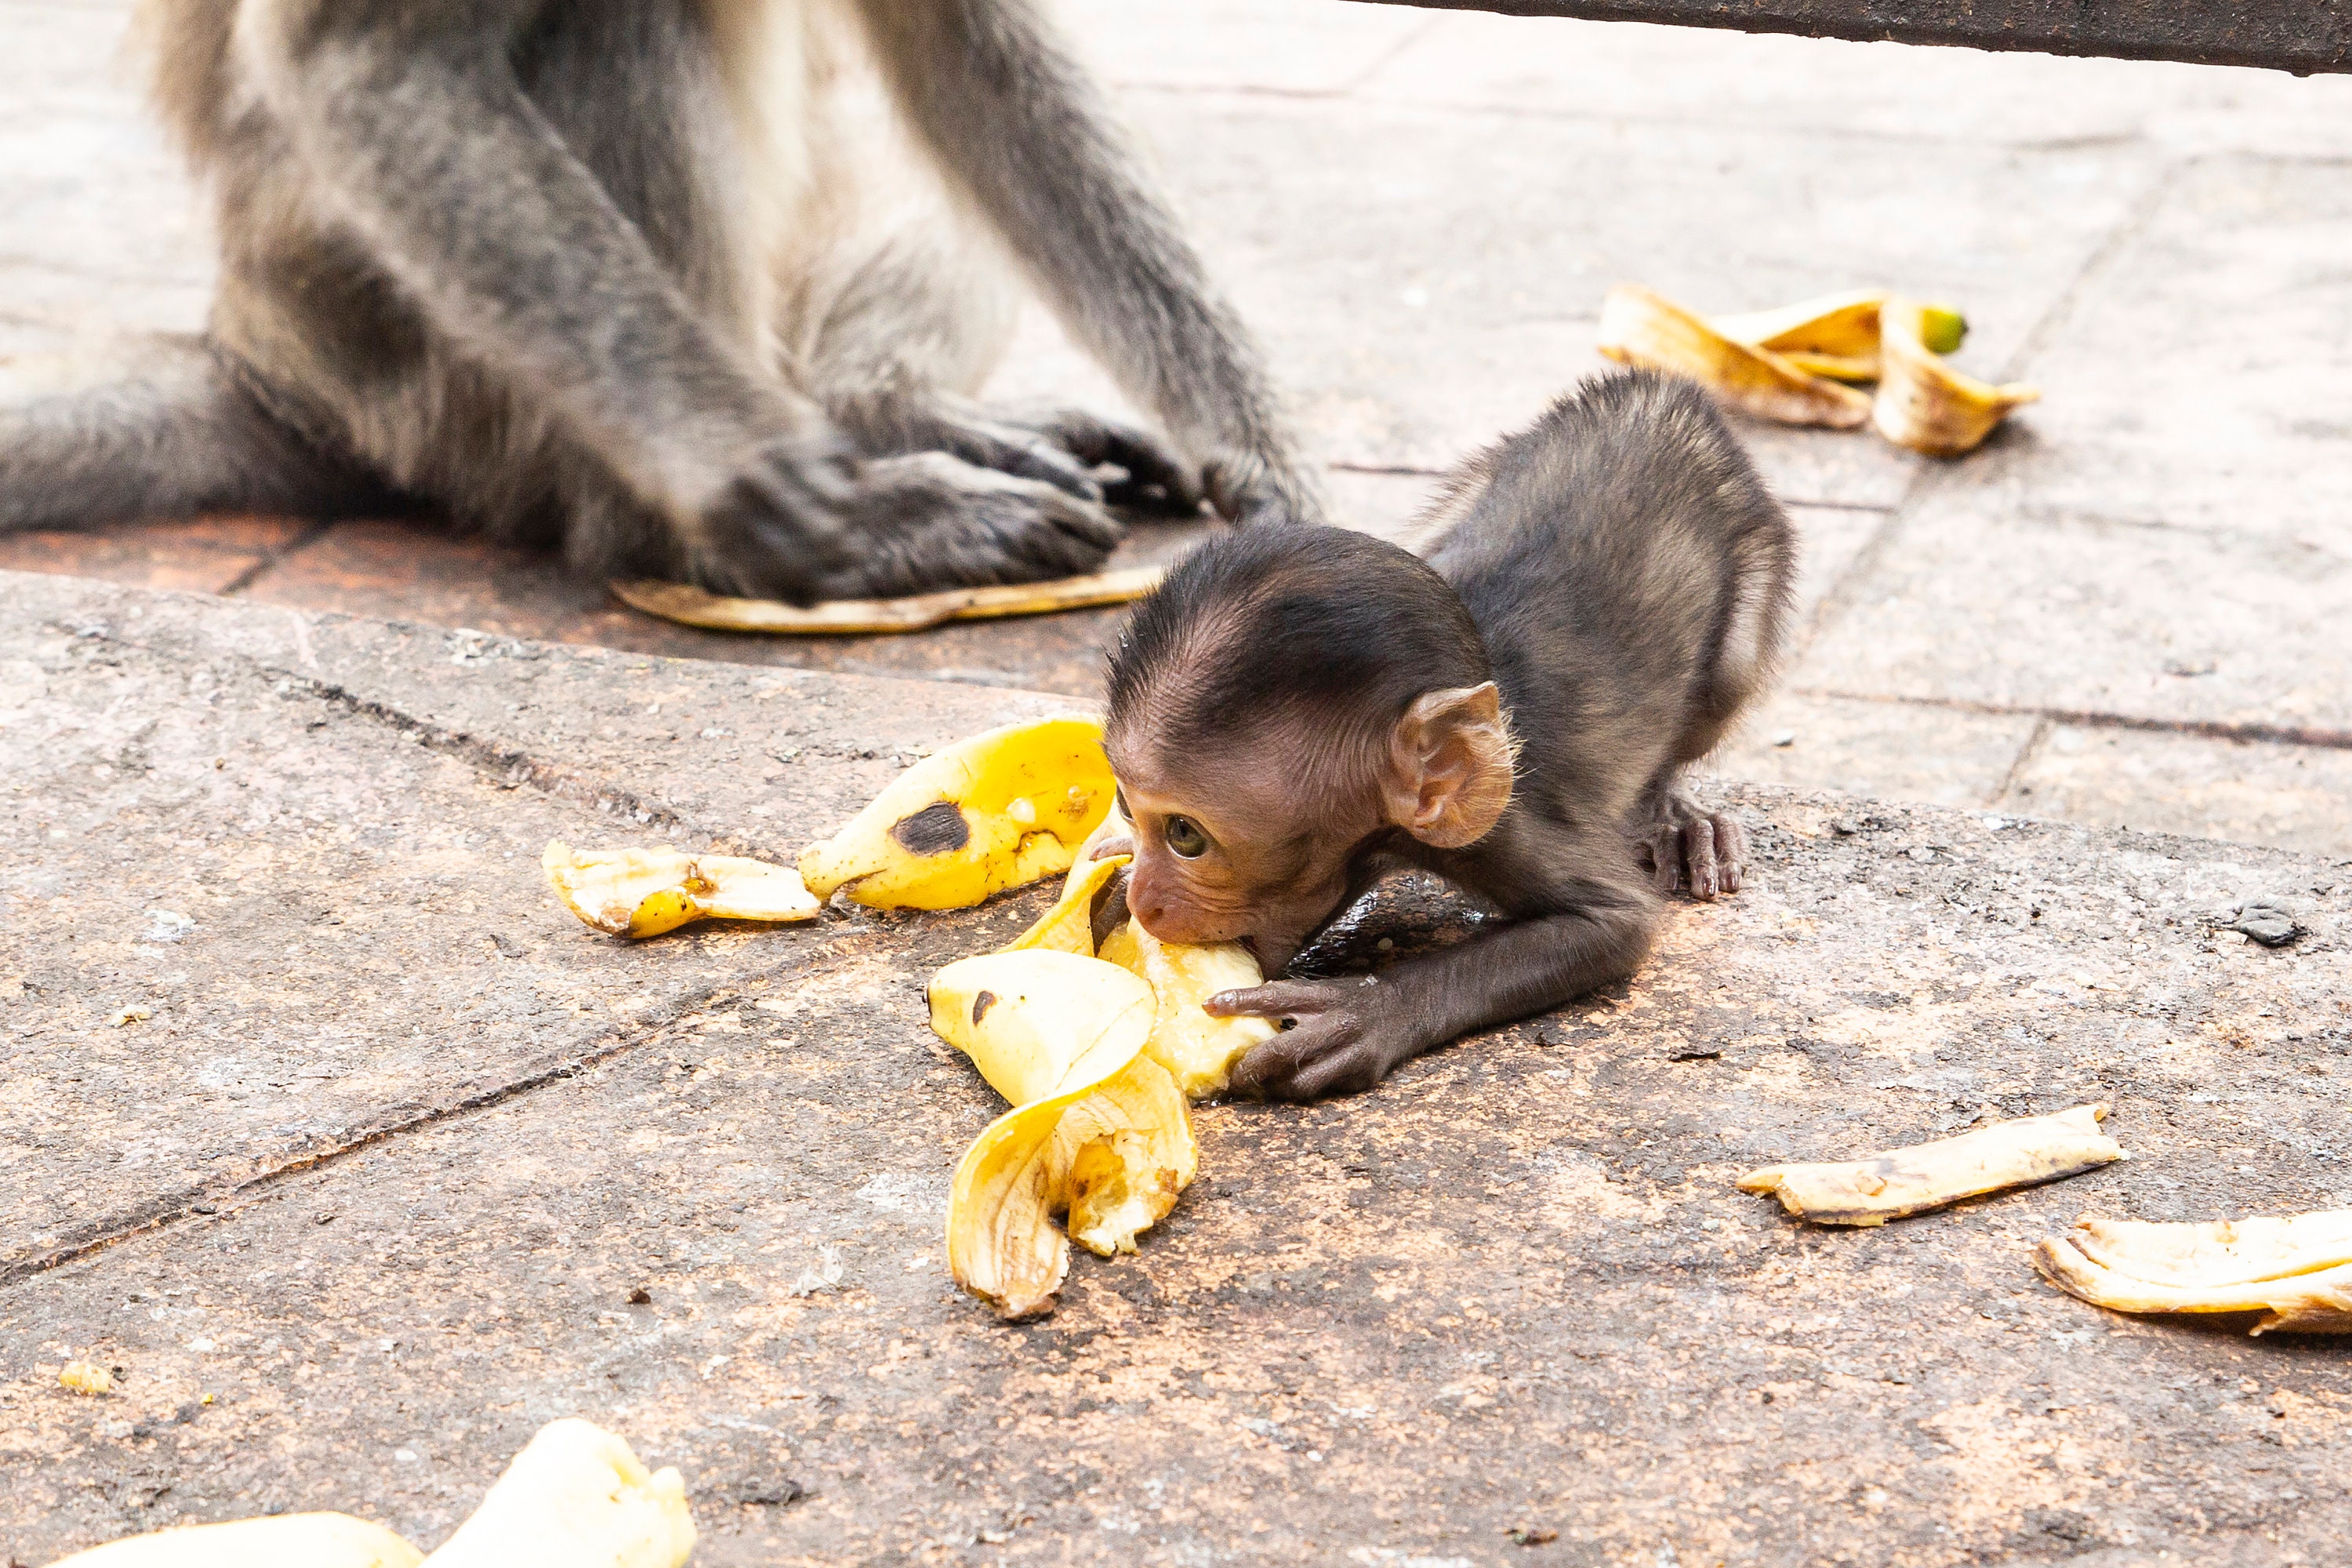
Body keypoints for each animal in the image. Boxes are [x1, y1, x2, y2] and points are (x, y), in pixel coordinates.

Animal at [0, 0, 1318, 603]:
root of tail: (265, 356)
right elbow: (361, 58)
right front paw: (783, 492)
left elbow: (959, 30)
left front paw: (1253, 446)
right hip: (435, 363)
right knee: (628, 19)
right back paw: (696, 538)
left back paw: (888, 408)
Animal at [1092, 368, 1795, 1101]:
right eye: (1128, 806)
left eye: (1186, 836)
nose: (1145, 903)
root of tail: (1669, 392)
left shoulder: (1506, 829)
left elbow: (1614, 922)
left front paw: (1366, 1011)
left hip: (1754, 548)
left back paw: (1673, 811)